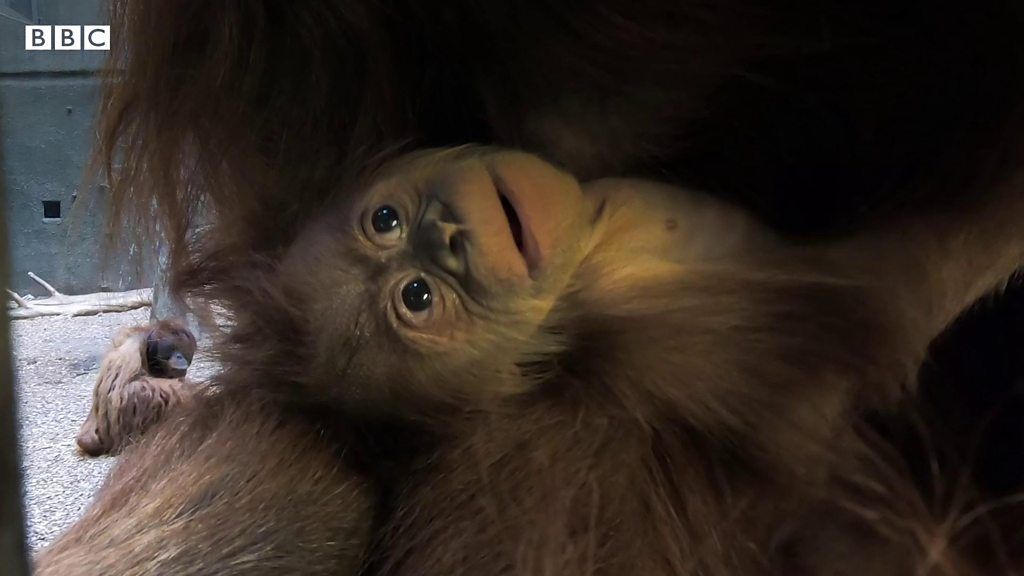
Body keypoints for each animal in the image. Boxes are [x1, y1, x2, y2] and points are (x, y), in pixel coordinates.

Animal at [74, 319, 198, 457]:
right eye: (172, 348)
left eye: (182, 349)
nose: (179, 357)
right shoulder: (130, 350)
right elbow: (121, 392)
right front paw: (185, 388)